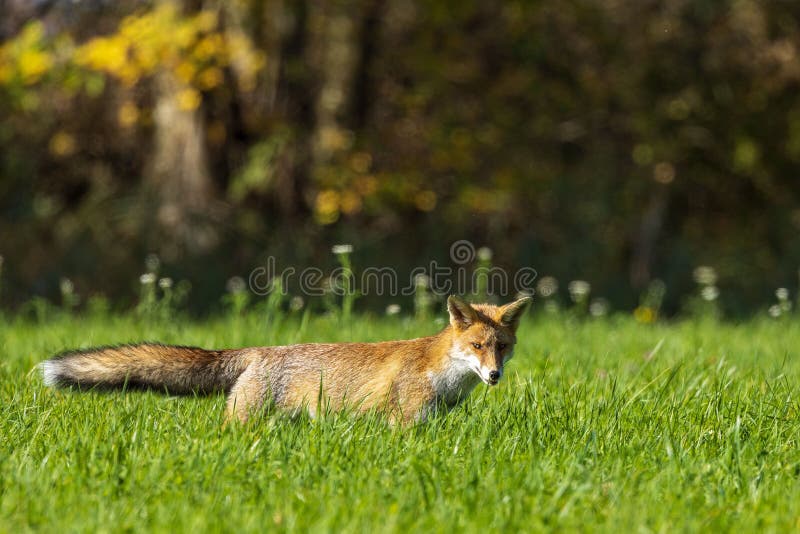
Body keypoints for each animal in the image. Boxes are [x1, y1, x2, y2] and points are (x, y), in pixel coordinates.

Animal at [40, 295, 531, 425]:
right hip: (245, 421)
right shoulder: (404, 422)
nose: (493, 375)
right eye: (477, 346)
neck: (442, 374)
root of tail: (260, 350)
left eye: (502, 346)